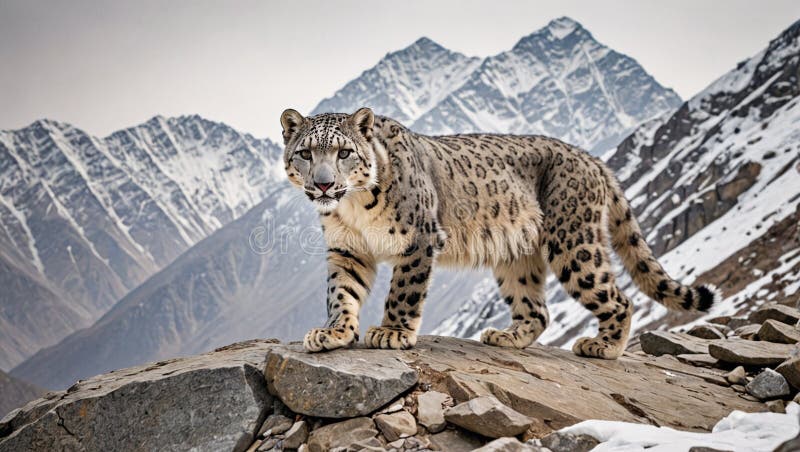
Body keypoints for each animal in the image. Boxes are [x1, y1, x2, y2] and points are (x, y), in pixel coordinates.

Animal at [279, 107, 720, 359]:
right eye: (305, 153)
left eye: (344, 152)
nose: (323, 185)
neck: (352, 209)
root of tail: (593, 160)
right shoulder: (347, 249)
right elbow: (341, 292)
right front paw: (334, 333)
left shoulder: (419, 239)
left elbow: (404, 292)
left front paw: (391, 333)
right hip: (517, 256)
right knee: (536, 309)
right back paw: (506, 337)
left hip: (573, 243)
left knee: (618, 298)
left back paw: (604, 346)